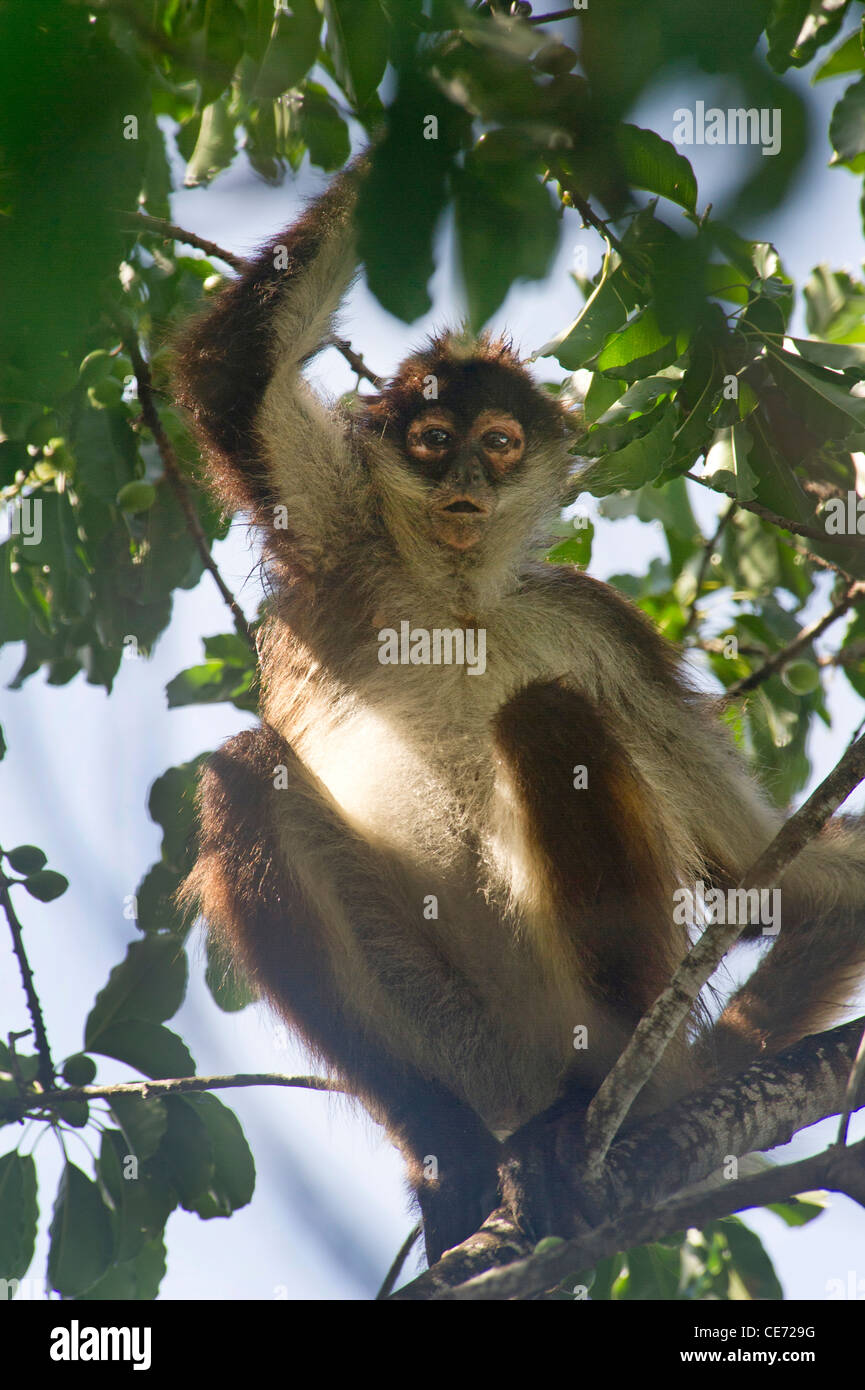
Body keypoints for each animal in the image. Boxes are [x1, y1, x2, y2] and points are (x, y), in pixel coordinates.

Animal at [173, 160, 865, 1265]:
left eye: (497, 445)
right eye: (431, 440)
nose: (463, 478)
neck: (459, 604)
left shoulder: (597, 626)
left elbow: (775, 879)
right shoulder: (340, 539)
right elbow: (236, 378)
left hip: (577, 1005)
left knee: (546, 720)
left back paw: (586, 1109)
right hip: (467, 1041)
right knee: (243, 769)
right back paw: (448, 1146)